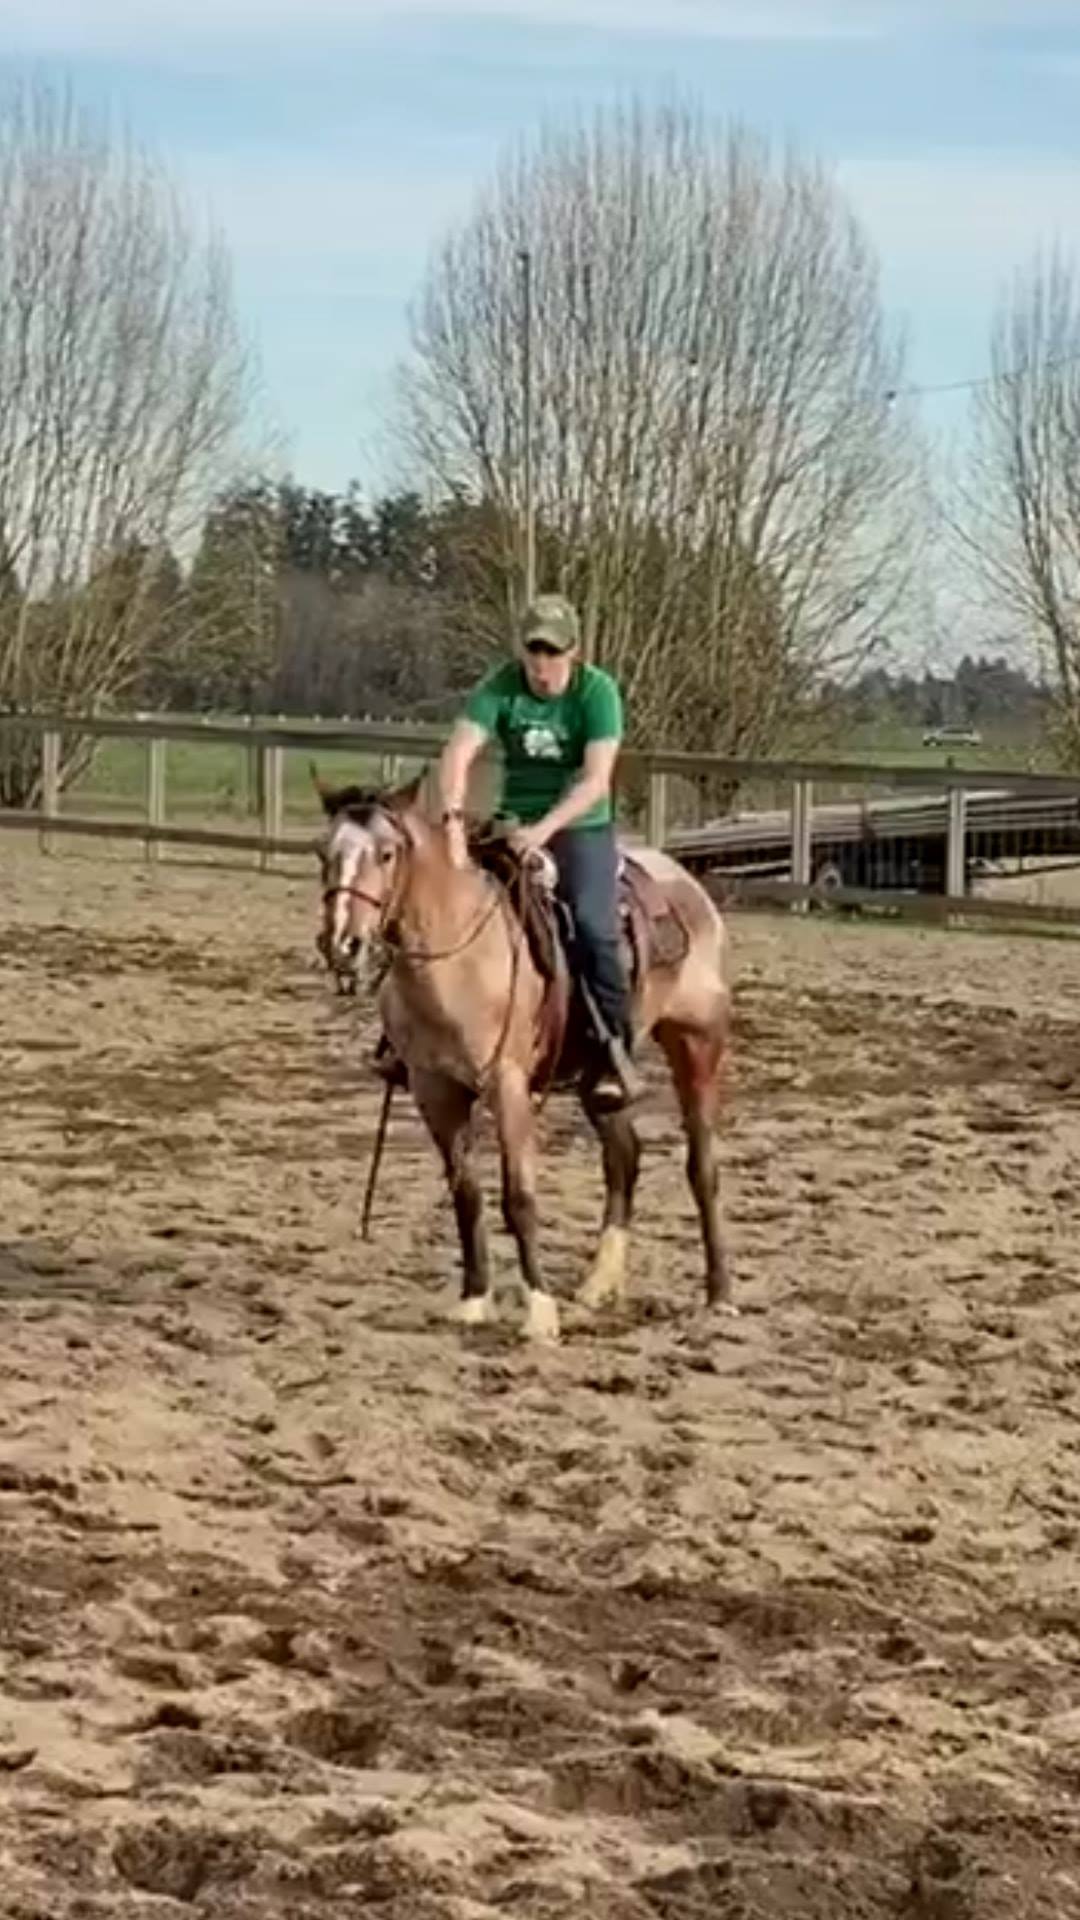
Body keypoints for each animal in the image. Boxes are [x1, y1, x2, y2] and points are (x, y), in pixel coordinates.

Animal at [313, 771, 732, 1343]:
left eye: (386, 853)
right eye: (322, 852)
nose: (343, 944)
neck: (459, 956)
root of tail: (687, 885)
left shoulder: (506, 1086)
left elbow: (519, 1197)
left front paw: (539, 1311)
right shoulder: (434, 1091)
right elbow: (467, 1194)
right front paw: (473, 1300)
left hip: (697, 1042)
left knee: (701, 1167)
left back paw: (720, 1295)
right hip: (598, 1080)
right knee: (623, 1158)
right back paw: (599, 1283)